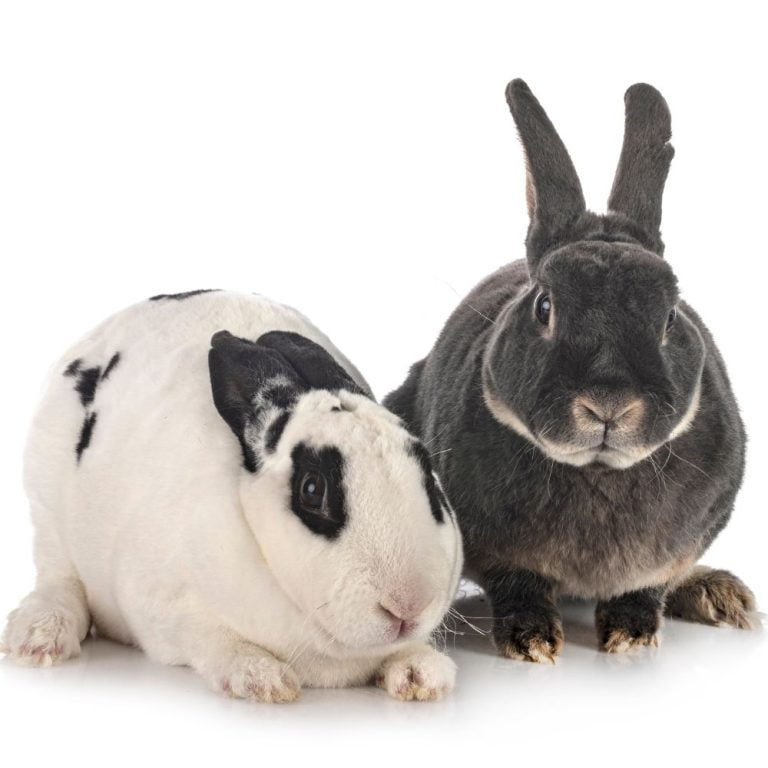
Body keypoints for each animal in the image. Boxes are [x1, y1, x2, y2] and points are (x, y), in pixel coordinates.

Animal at [1, 290, 463, 702]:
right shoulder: (166, 609)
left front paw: (424, 675)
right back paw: (37, 639)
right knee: (59, 578)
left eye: (429, 476)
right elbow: (214, 640)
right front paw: (263, 680)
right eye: (312, 490)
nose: (408, 606)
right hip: (47, 511)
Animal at [384, 80, 755, 662]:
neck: (598, 471)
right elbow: (520, 586)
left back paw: (719, 595)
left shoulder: (678, 545)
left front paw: (632, 636)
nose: (609, 403)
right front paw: (532, 641)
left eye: (670, 316)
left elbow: (644, 588)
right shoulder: (499, 554)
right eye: (544, 306)